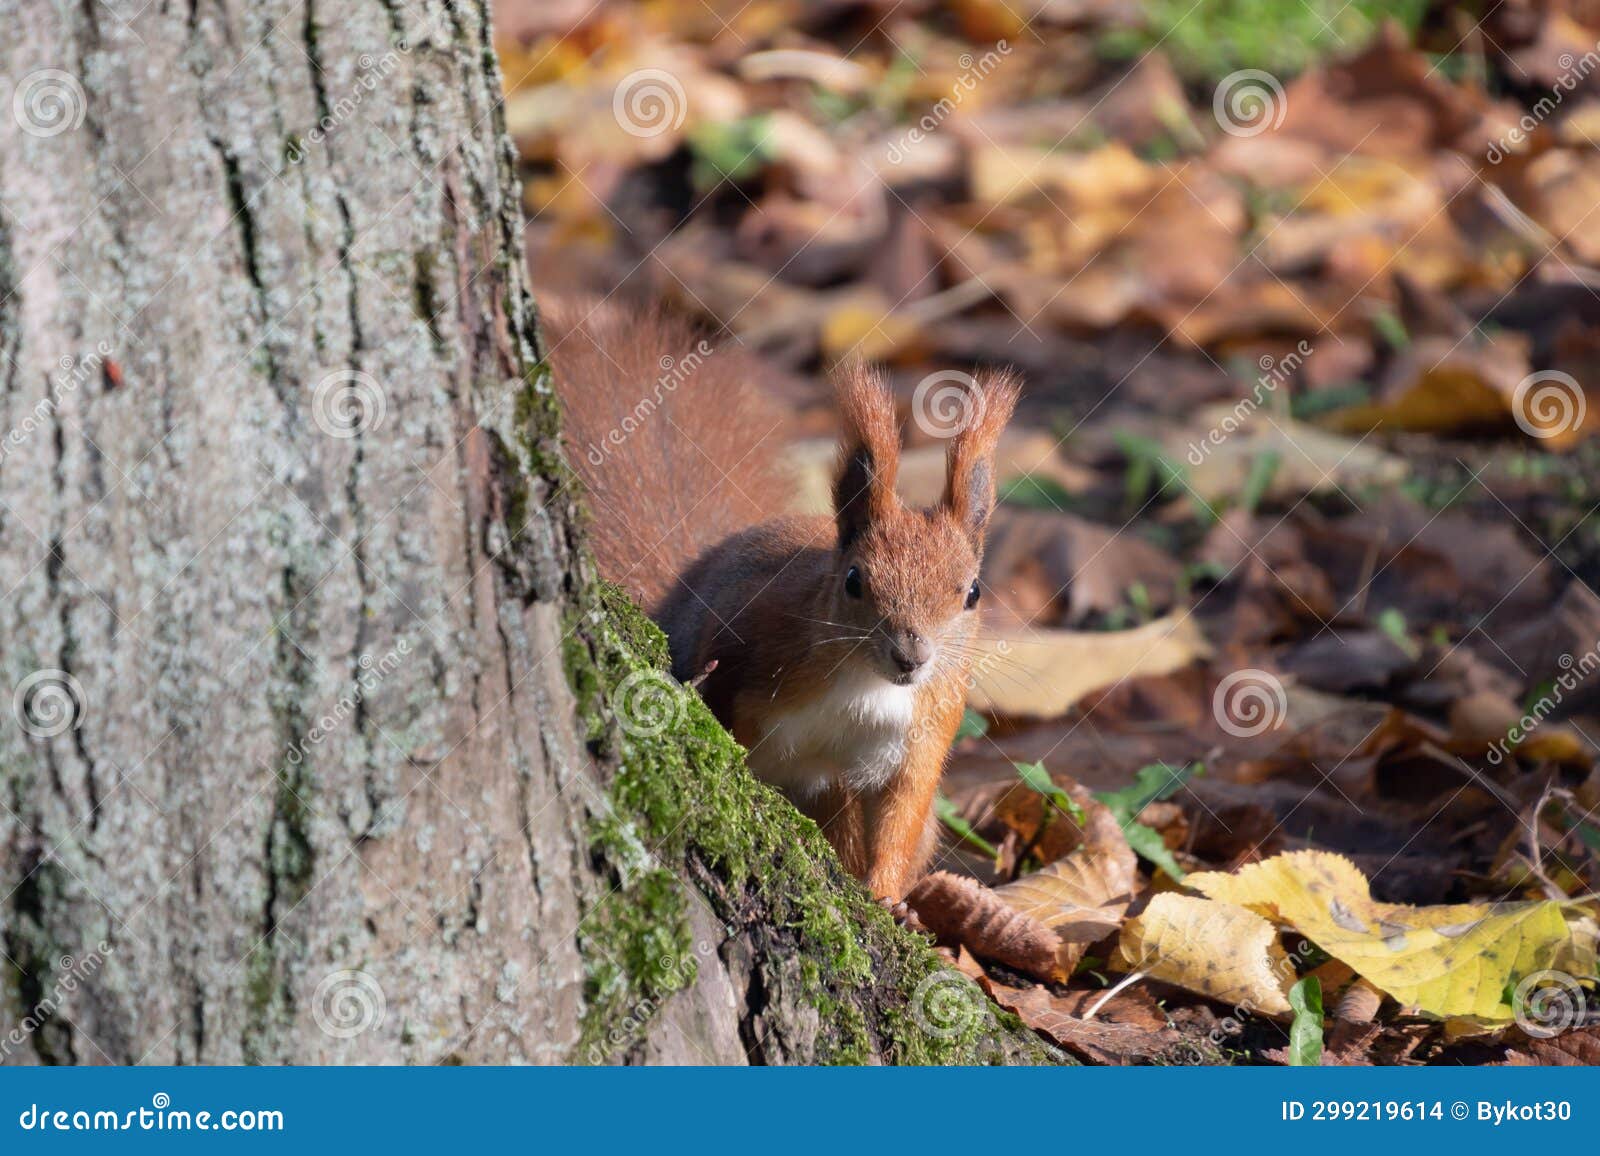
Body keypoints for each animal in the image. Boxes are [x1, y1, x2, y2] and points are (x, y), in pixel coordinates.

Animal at [546, 298, 1019, 901]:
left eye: (973, 592)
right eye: (853, 581)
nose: (911, 657)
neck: (867, 687)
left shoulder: (929, 728)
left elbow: (902, 818)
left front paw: (886, 899)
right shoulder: (745, 656)